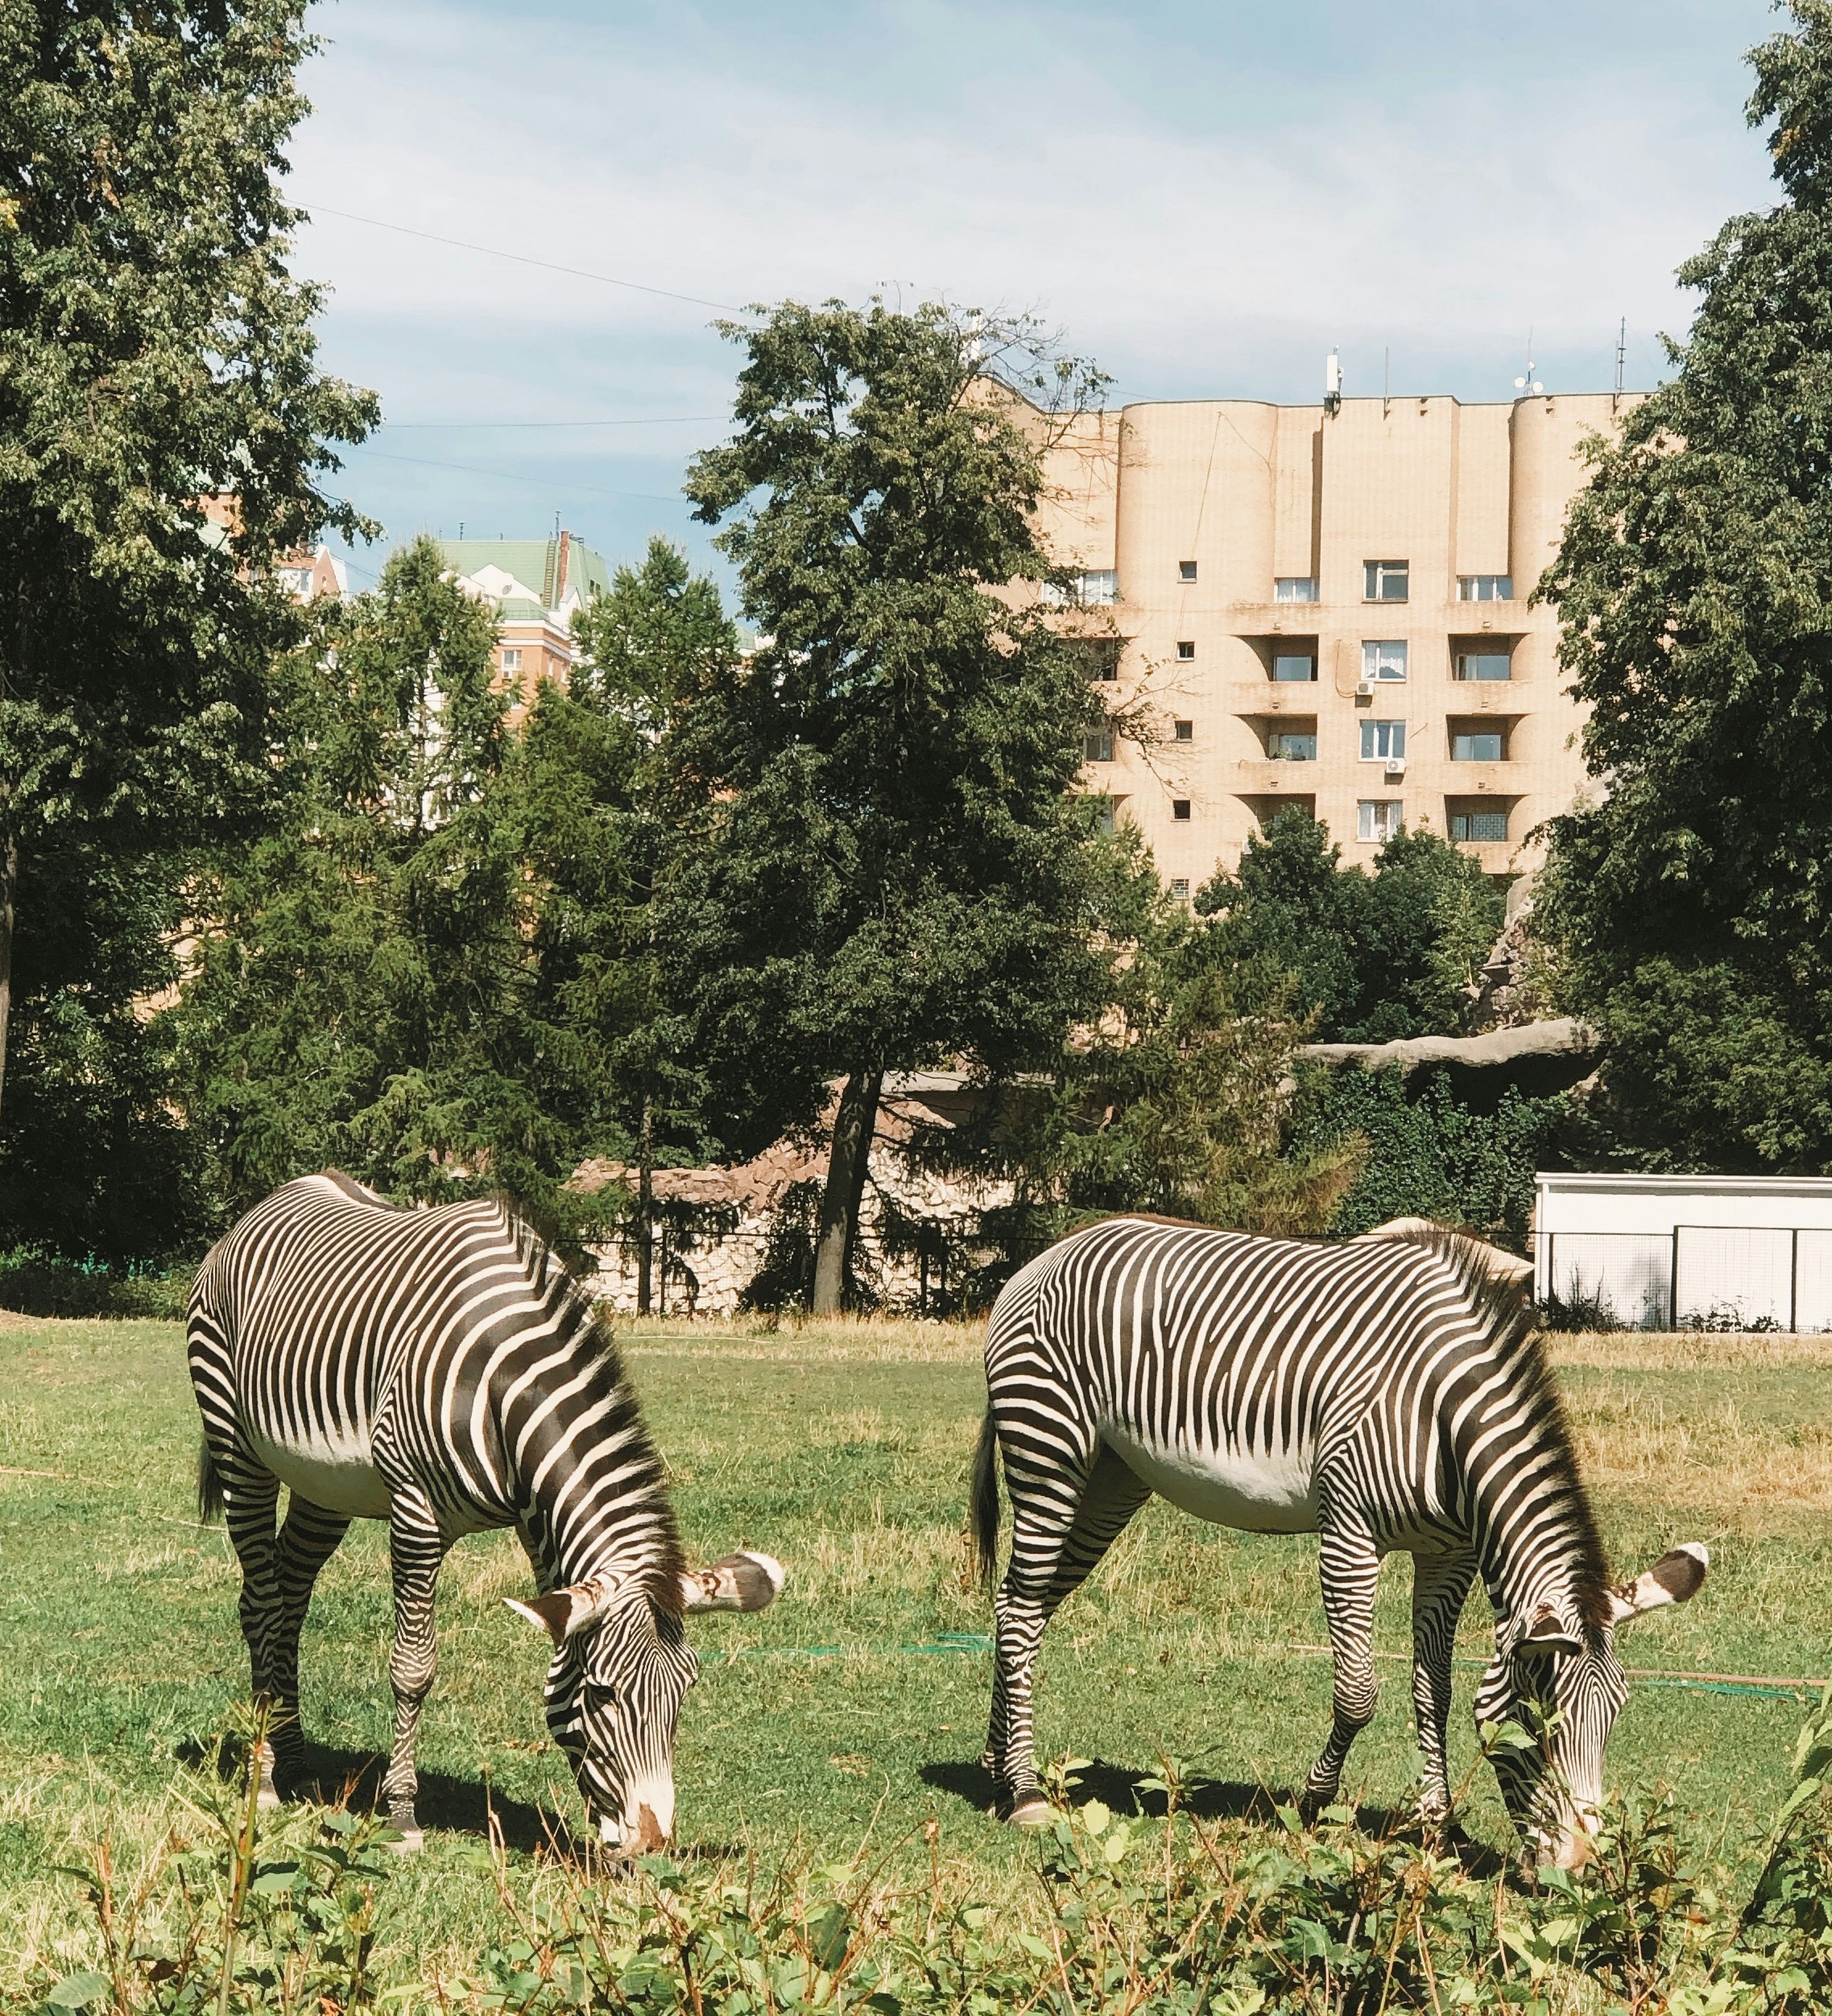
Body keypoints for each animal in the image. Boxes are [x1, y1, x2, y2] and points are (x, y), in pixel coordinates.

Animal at [189, 1171, 784, 1853]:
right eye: (602, 1694)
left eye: (685, 1691)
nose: (652, 1845)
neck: (510, 1386)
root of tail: (280, 1194)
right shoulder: (416, 1513)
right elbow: (413, 1668)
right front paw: (401, 1817)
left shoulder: (540, 1522)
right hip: (236, 1442)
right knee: (260, 1604)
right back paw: (263, 1778)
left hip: (322, 1482)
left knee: (288, 1598)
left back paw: (292, 1761)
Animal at [970, 1215, 1706, 1869]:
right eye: (1536, 1721)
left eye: (1615, 1715)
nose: (1579, 1864)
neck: (1440, 1411)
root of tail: (1046, 1256)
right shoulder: (1347, 1535)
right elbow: (1357, 1694)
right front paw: (1311, 1802)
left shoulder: (1448, 1554)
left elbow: (1431, 1690)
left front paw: (1438, 1827)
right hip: (1049, 1451)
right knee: (1020, 1609)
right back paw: (1027, 1792)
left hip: (1110, 1479)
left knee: (1019, 1608)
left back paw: (997, 1768)